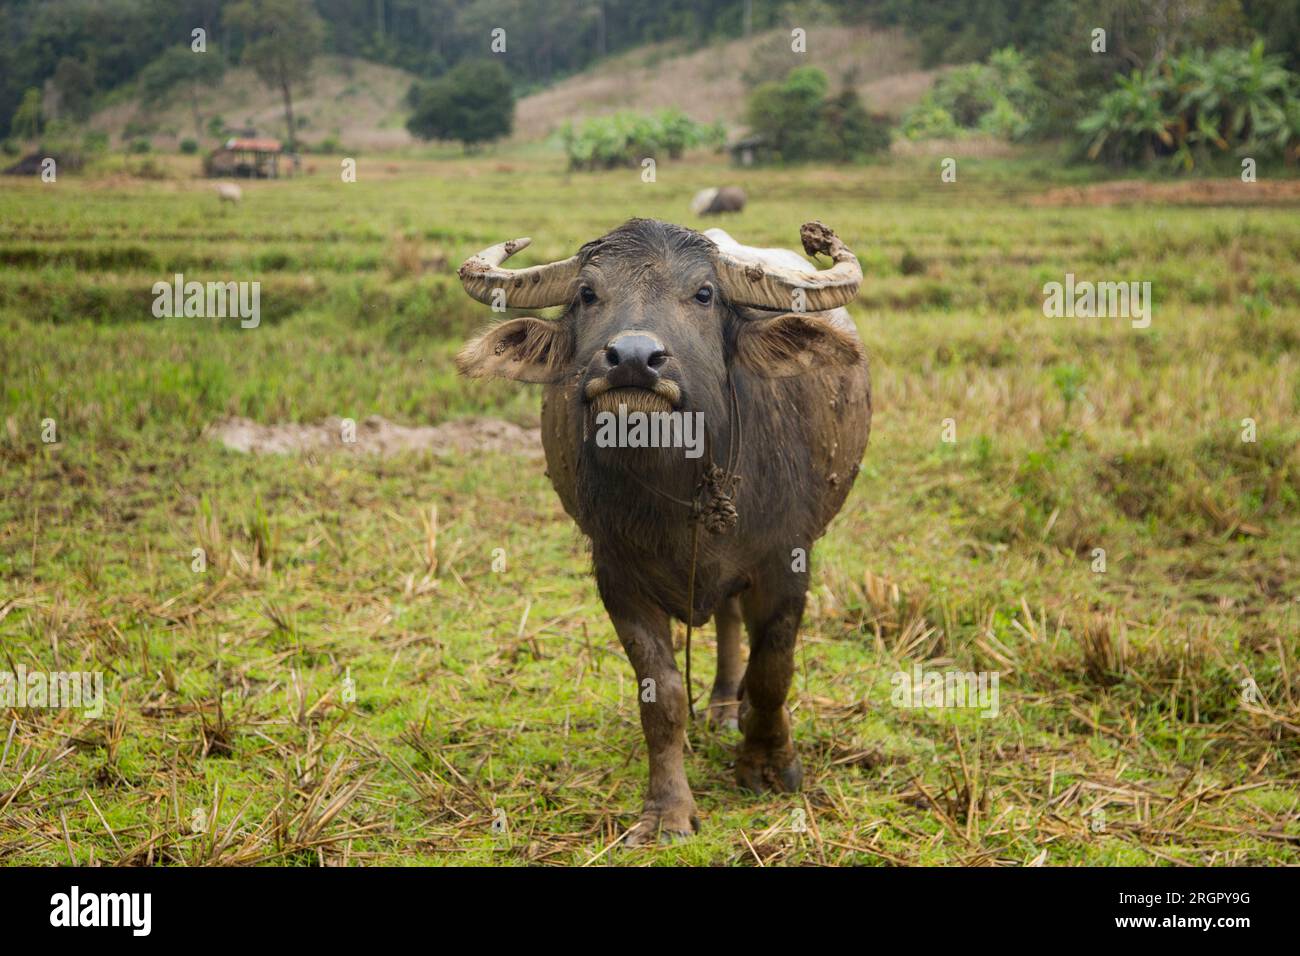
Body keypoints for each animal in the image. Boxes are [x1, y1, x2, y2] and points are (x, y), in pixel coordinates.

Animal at [456, 218, 871, 844]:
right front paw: (668, 811)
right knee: (725, 618)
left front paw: (769, 765)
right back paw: (722, 705)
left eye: (703, 293)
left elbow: (773, 670)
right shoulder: (618, 577)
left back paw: (732, 711)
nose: (632, 359)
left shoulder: (786, 562)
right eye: (588, 293)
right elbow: (662, 695)